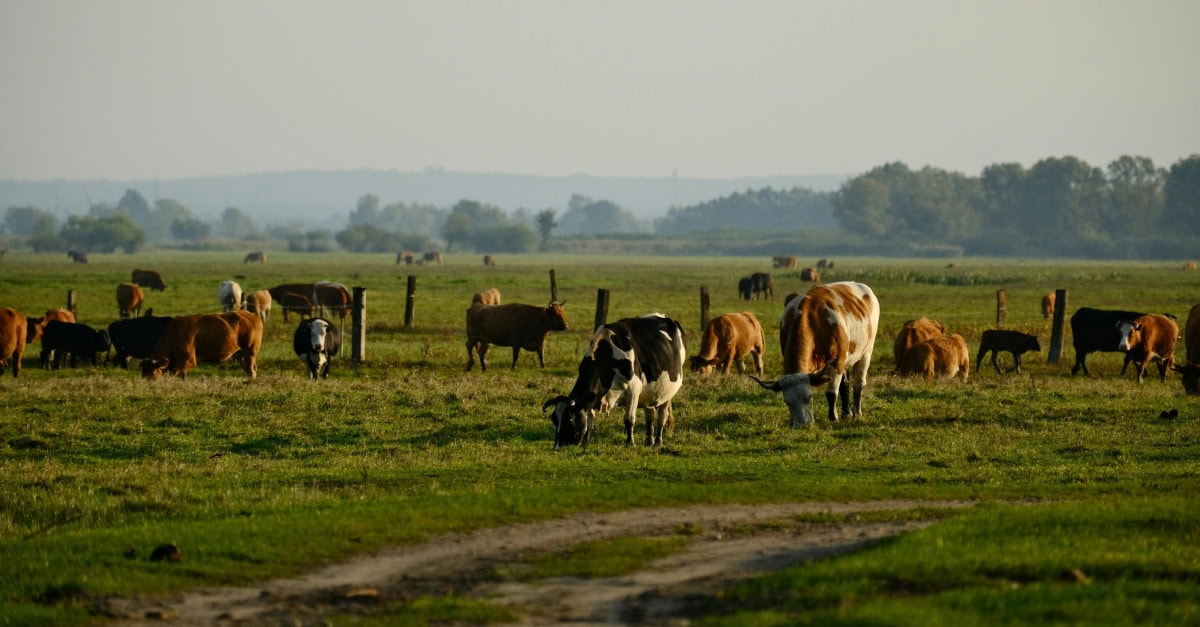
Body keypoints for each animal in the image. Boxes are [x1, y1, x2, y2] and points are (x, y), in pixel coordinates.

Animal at [543, 313, 686, 449]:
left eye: (570, 420)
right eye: (554, 419)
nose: (557, 447)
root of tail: (668, 318)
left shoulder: (633, 390)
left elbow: (629, 420)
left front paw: (630, 443)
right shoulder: (594, 396)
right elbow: (589, 421)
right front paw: (585, 443)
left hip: (667, 392)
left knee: (662, 416)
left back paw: (657, 442)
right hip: (650, 391)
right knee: (650, 415)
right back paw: (648, 442)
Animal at [751, 282, 880, 427]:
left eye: (809, 397)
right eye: (787, 402)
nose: (800, 425)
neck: (812, 320)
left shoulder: (836, 362)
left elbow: (831, 393)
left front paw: (833, 417)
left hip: (866, 353)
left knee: (858, 384)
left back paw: (857, 413)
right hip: (846, 359)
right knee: (845, 385)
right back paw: (846, 413)